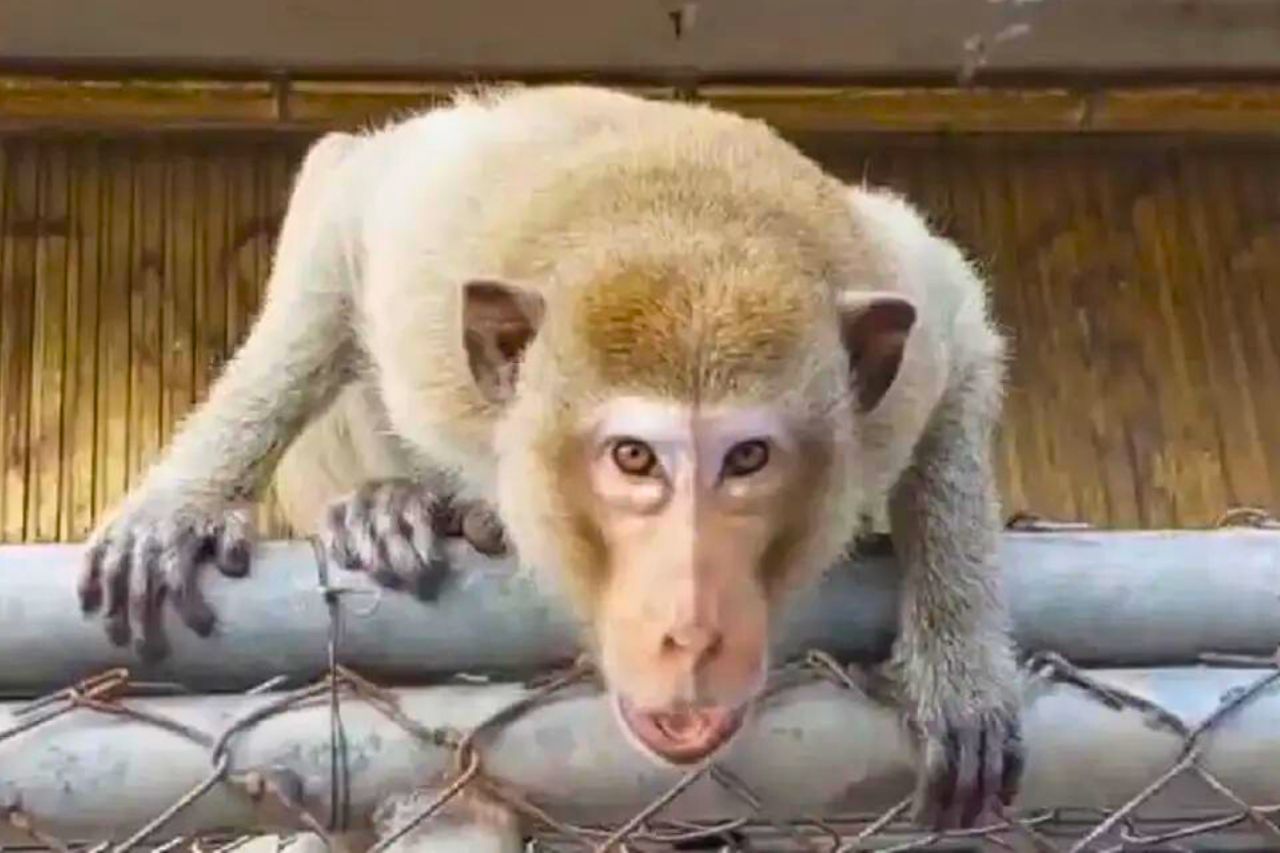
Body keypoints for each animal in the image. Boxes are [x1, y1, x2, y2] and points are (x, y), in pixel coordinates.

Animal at [77, 84, 1022, 831]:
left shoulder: (900, 358)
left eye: (749, 458)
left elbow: (962, 333)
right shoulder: (429, 256)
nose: (689, 609)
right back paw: (389, 504)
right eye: (633, 459)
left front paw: (960, 658)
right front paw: (183, 505)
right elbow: (348, 206)